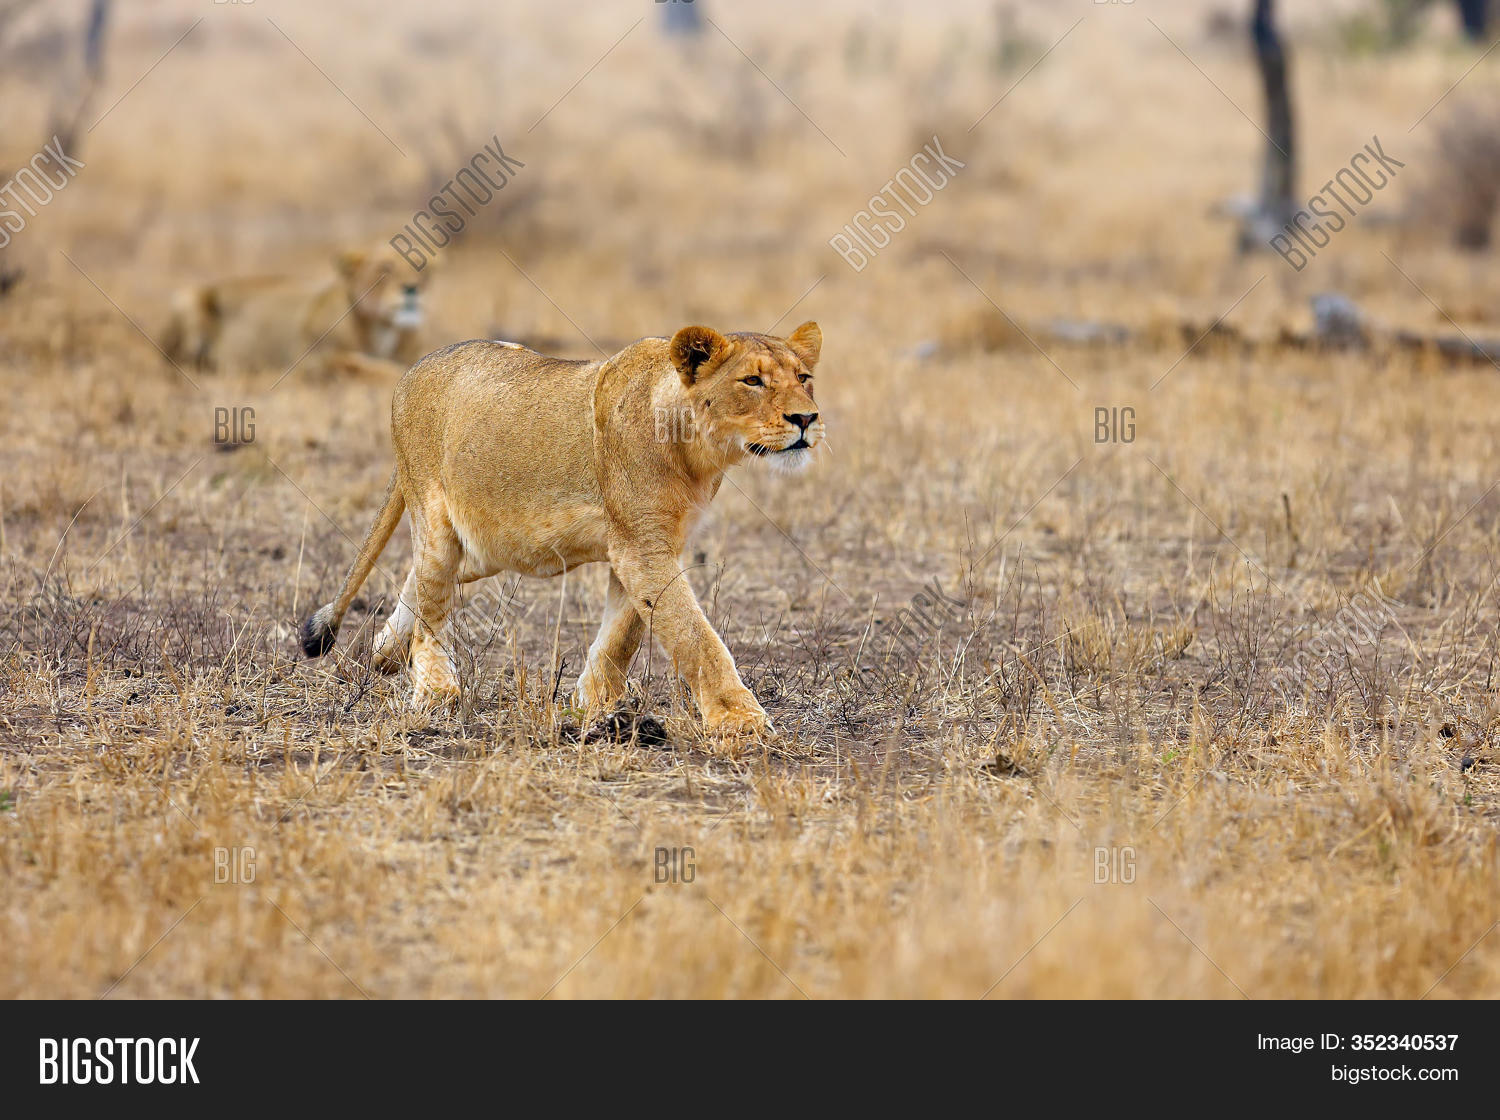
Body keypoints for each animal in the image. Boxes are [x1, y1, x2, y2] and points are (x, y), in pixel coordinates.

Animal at [161, 242, 433, 377]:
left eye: (422, 268)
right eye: (384, 268)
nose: (412, 288)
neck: (382, 330)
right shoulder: (312, 361)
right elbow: (367, 366)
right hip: (185, 298)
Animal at [298, 321, 825, 736]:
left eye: (804, 378)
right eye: (752, 380)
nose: (806, 418)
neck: (697, 450)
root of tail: (415, 367)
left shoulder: (646, 546)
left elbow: (623, 634)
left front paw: (593, 704)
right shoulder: (643, 548)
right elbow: (694, 635)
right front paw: (740, 720)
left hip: (486, 547)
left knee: (421, 578)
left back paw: (384, 652)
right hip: (437, 517)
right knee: (432, 602)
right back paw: (435, 690)